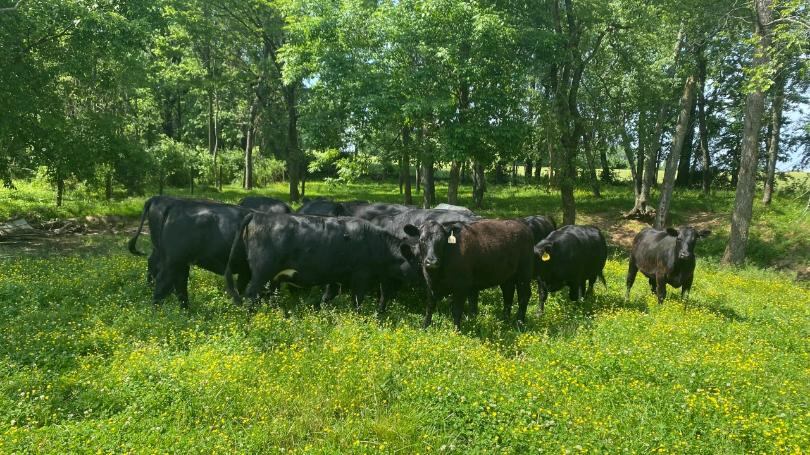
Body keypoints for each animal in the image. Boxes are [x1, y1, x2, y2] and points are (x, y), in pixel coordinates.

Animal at [224, 213, 418, 313]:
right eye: (417, 259)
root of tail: (259, 214)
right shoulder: (361, 276)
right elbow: (357, 301)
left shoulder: (335, 277)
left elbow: (327, 297)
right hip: (262, 272)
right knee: (251, 294)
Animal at [404, 219, 535, 330]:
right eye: (422, 240)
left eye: (441, 240)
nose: (432, 261)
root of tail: (523, 226)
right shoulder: (430, 284)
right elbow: (430, 306)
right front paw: (424, 327)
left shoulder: (461, 285)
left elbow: (457, 310)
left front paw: (456, 331)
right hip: (507, 276)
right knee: (508, 293)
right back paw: (504, 320)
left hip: (524, 273)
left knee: (524, 295)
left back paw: (519, 323)